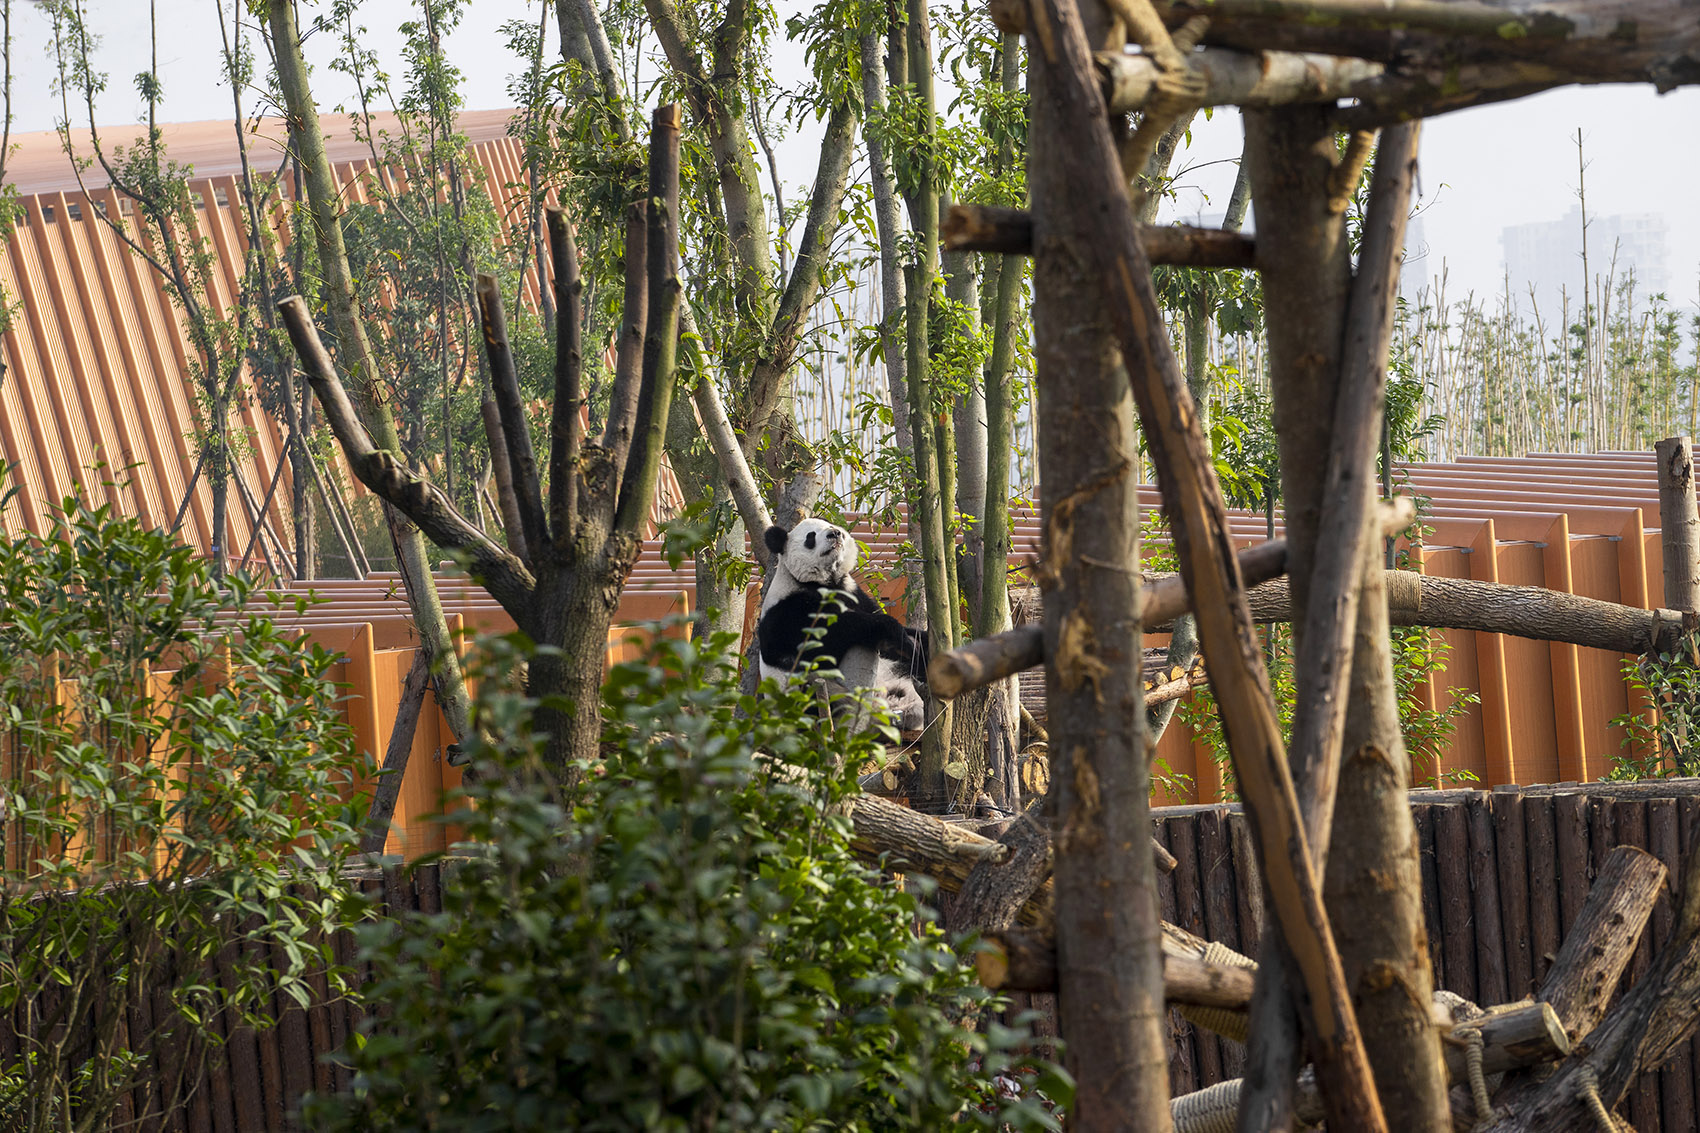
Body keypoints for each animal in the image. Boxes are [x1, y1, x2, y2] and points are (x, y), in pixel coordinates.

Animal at [756, 518, 930, 732]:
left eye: (836, 529)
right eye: (810, 536)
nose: (834, 534)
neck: (825, 581)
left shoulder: (853, 592)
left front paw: (917, 643)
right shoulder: (788, 612)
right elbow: (828, 637)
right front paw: (895, 635)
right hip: (800, 692)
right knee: (828, 698)